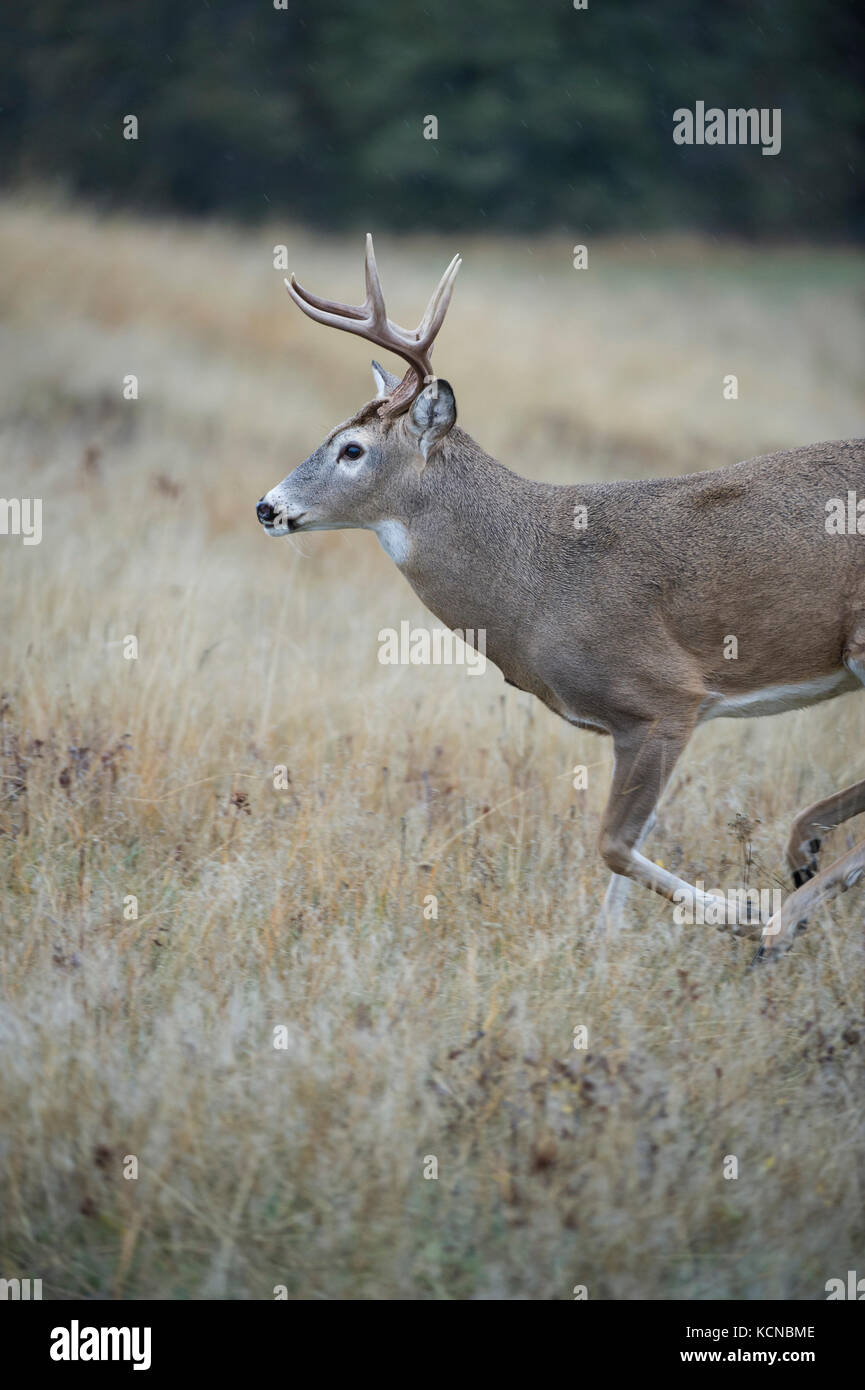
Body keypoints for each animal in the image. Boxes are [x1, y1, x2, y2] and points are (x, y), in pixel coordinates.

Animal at [256, 236, 865, 960]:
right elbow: (626, 852)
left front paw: (744, 913)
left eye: (351, 449)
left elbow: (613, 844)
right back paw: (801, 859)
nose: (266, 507)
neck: (536, 583)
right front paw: (605, 950)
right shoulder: (654, 719)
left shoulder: (662, 697)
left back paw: (786, 906)